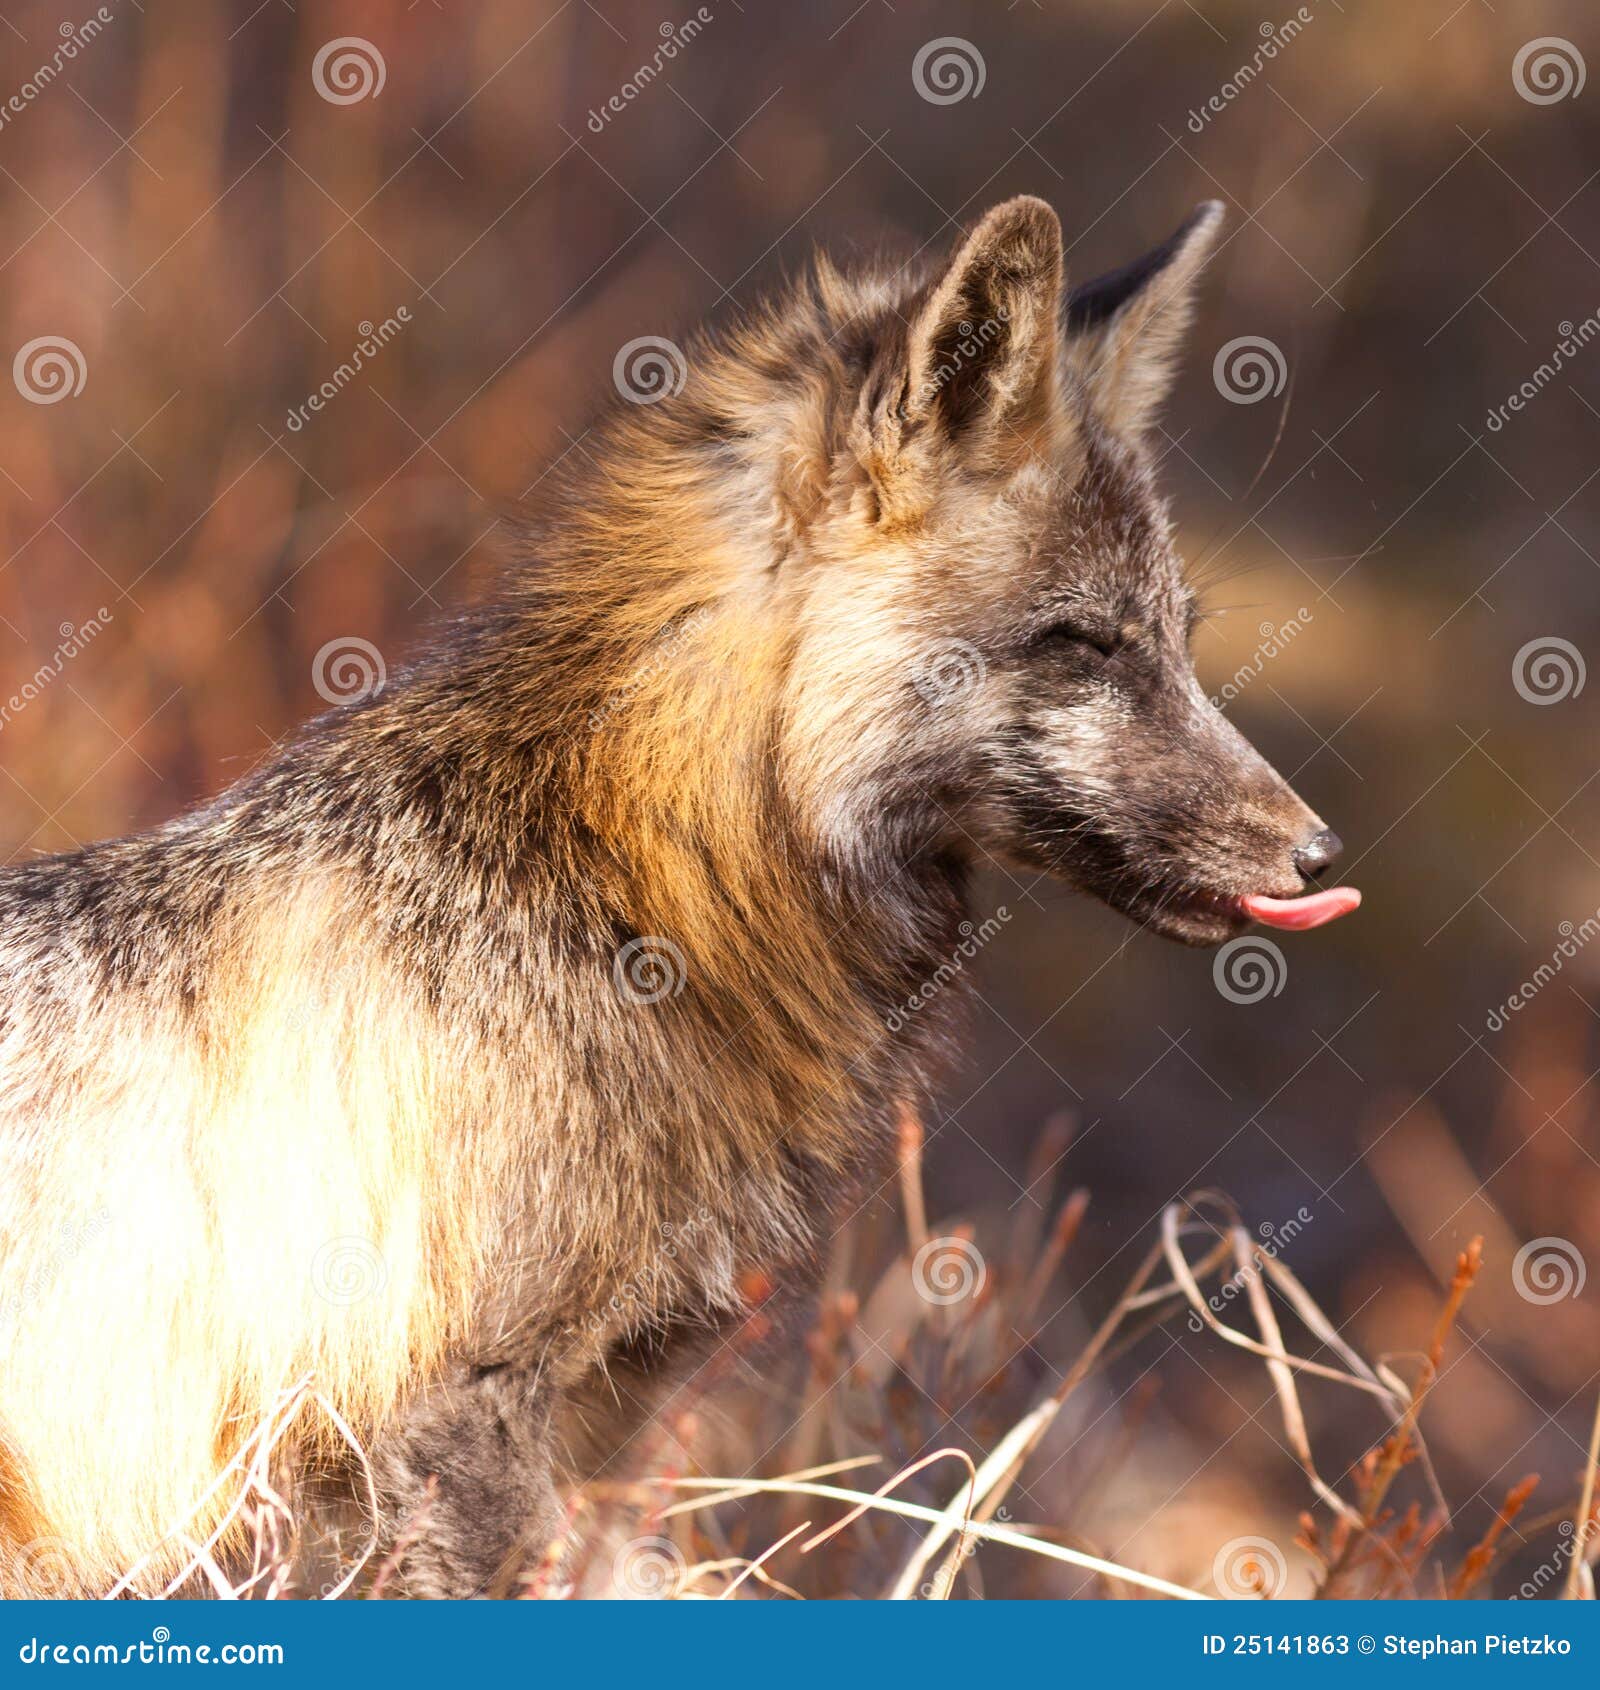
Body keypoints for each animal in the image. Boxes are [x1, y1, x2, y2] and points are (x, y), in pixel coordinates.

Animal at [0, 194, 1358, 1598]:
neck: (643, 881)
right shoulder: (452, 1416)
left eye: (1182, 640)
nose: (1318, 855)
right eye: (1085, 643)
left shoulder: (597, 1418)